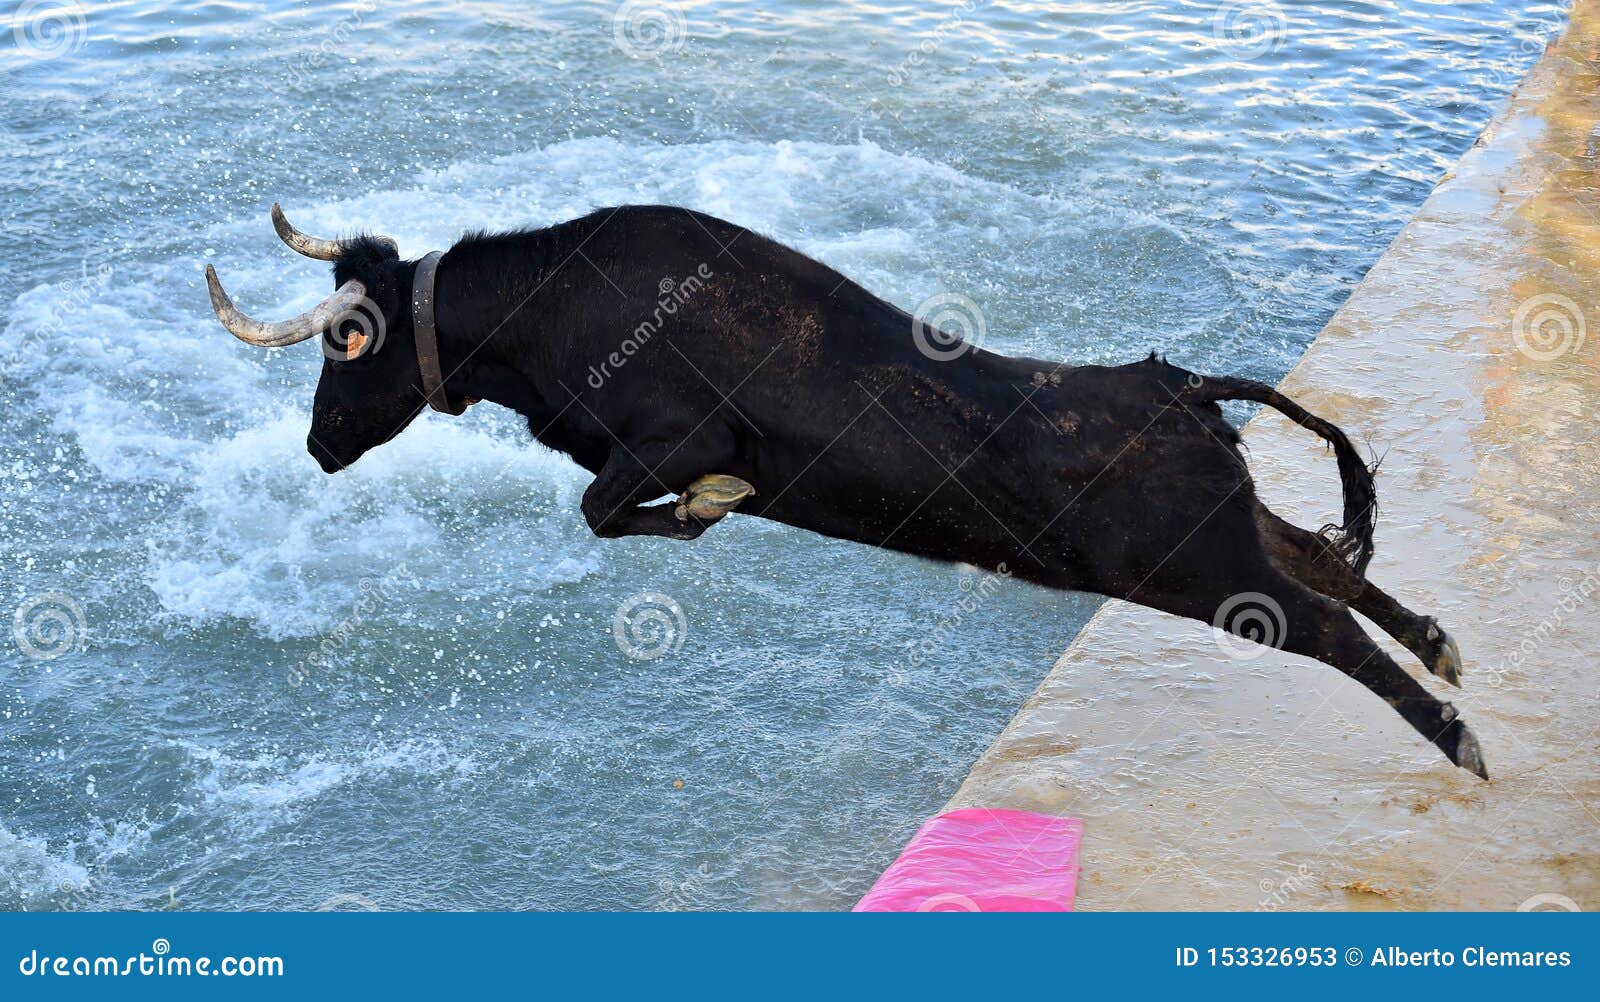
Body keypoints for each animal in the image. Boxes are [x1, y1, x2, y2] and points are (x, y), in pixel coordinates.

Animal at [204, 203, 1486, 779]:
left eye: (346, 347)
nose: (317, 447)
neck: (551, 309)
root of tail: (1172, 386)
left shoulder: (664, 439)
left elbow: (613, 508)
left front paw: (717, 500)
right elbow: (605, 515)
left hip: (1195, 568)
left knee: (1316, 617)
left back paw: (1460, 736)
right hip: (1223, 531)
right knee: (1318, 556)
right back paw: (1441, 644)